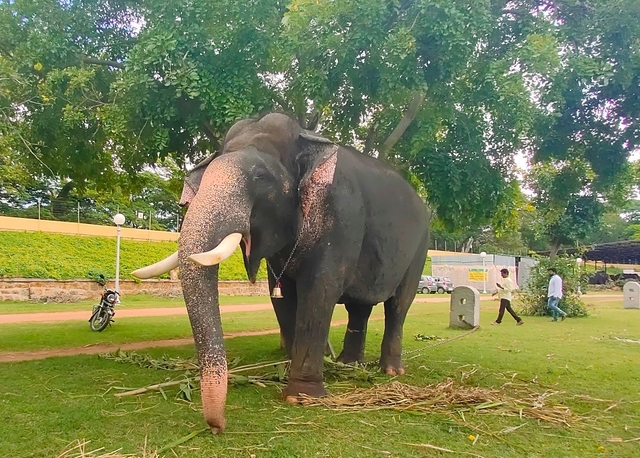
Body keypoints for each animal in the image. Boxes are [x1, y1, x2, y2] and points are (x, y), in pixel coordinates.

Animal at [132, 113, 430, 433]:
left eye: (261, 177)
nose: (217, 426)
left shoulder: (342, 217)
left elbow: (319, 291)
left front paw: (300, 398)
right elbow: (282, 296)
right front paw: (288, 373)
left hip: (419, 249)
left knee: (398, 306)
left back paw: (391, 371)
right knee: (359, 308)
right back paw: (348, 366)